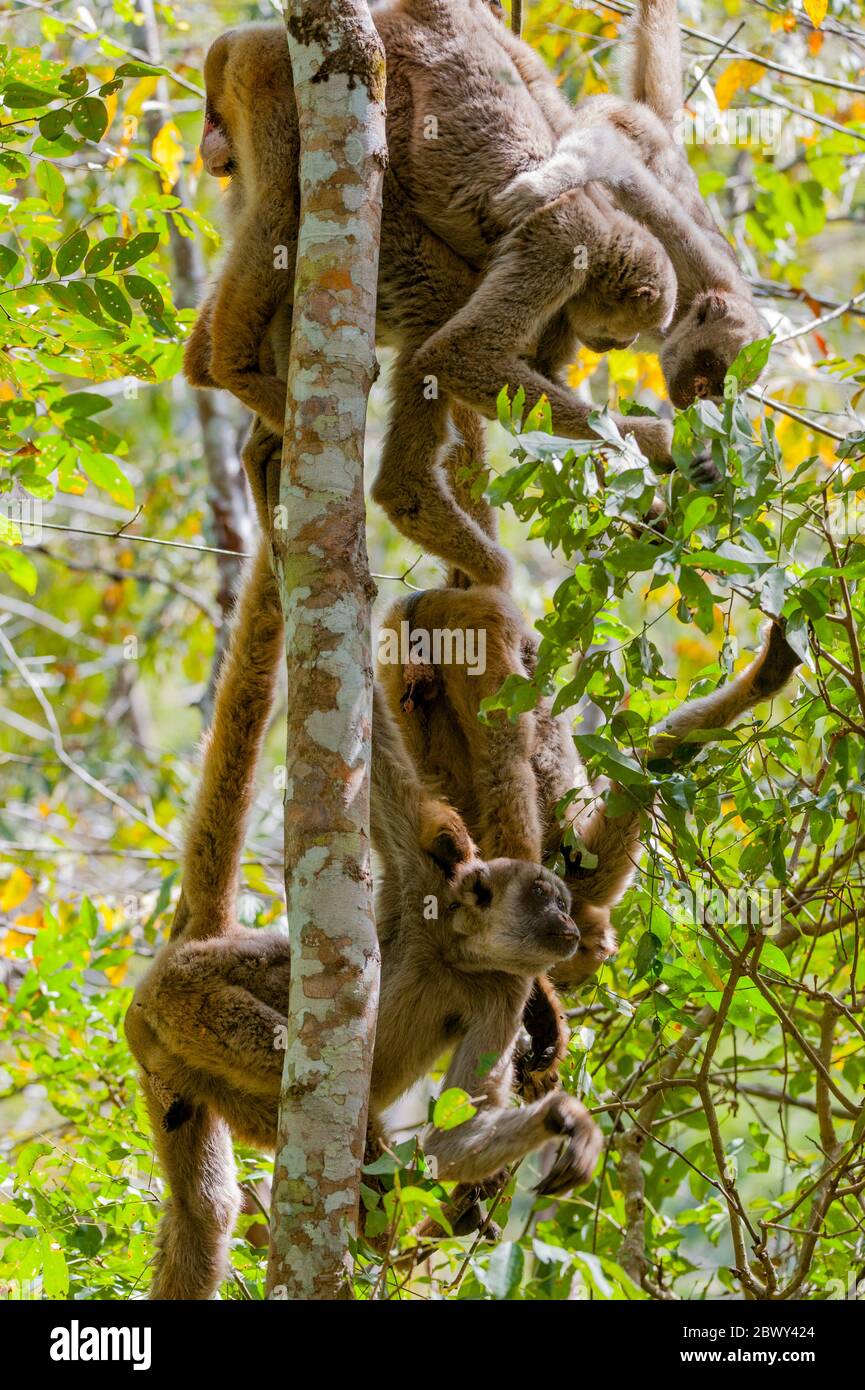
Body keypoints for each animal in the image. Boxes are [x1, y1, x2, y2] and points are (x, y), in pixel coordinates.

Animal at [125, 538, 601, 1299]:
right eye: (546, 897)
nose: (570, 927)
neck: (454, 953)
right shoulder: (419, 882)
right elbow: (371, 748)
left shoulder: (501, 989)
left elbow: (449, 1141)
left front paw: (559, 1121)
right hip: (174, 1000)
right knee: (293, 1065)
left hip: (167, 1064)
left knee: (206, 1208)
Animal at [377, 584, 801, 989]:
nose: (574, 971)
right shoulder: (587, 884)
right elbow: (643, 777)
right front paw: (765, 679)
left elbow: (647, 769)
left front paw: (765, 676)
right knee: (502, 754)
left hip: (432, 634)